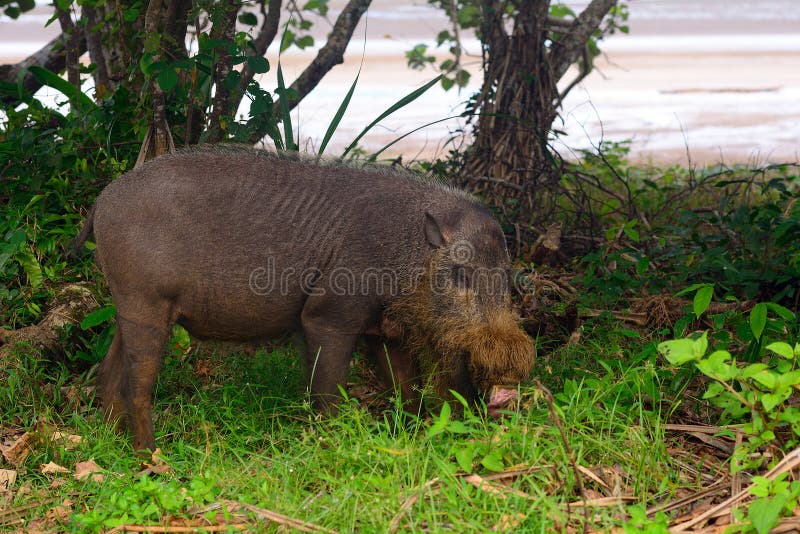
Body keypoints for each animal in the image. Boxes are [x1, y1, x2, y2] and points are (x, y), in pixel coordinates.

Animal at [72, 145, 535, 452]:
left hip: (129, 308)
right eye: (460, 274)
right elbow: (328, 392)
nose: (508, 370)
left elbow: (405, 389)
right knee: (135, 384)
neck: (407, 255)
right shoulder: (326, 316)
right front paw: (334, 442)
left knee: (107, 376)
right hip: (147, 303)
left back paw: (111, 448)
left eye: (509, 279)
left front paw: (412, 433)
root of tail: (100, 204)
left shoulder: (386, 331)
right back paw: (154, 459)